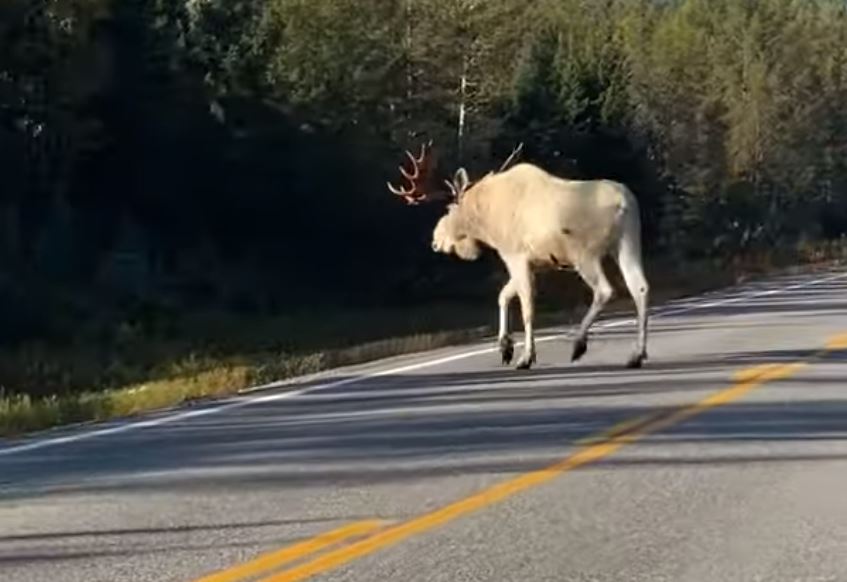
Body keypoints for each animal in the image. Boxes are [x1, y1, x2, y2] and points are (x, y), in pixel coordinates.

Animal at [387, 141, 650, 371]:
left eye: (449, 209)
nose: (435, 240)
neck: (485, 219)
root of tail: (625, 204)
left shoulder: (515, 255)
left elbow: (526, 307)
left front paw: (525, 357)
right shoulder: (537, 264)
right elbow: (503, 295)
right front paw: (505, 347)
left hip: (585, 254)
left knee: (605, 290)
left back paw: (579, 344)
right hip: (627, 243)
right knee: (639, 287)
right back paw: (636, 354)